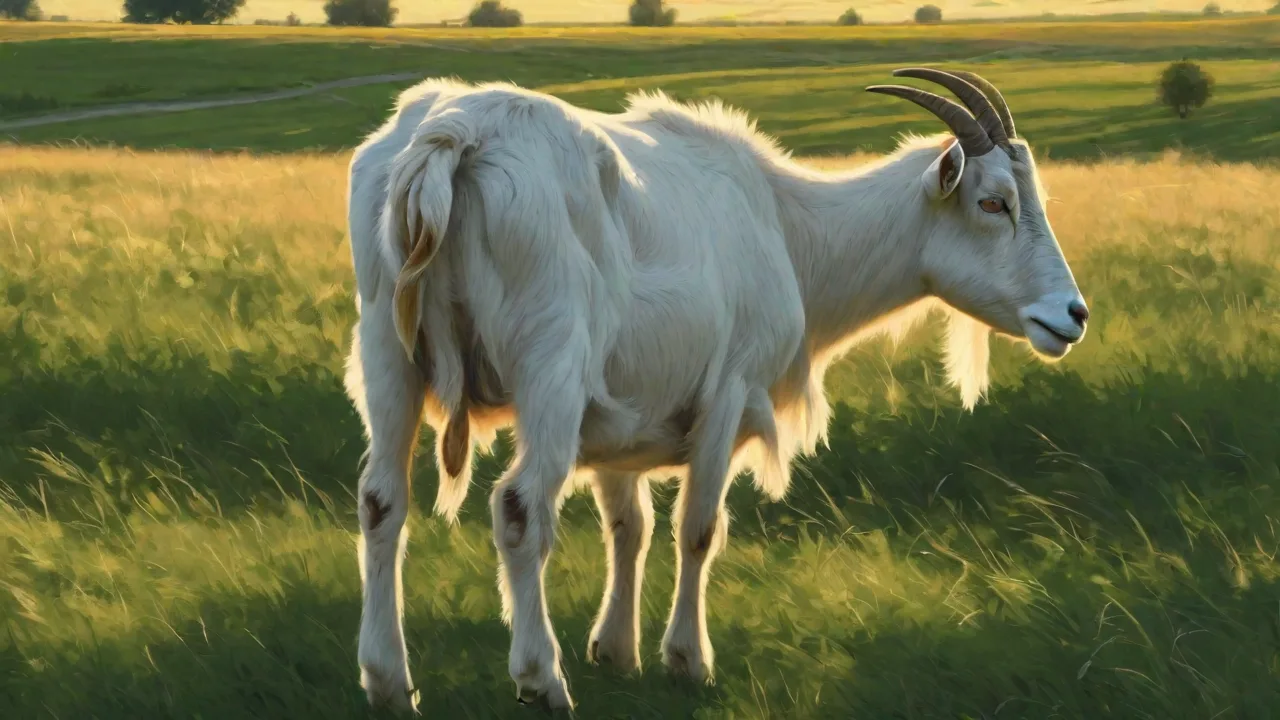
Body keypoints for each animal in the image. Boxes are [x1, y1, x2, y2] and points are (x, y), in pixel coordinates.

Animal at [341, 67, 1090, 712]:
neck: (786, 226)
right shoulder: (728, 389)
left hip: (386, 345)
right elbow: (698, 527)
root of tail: (457, 136)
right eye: (993, 202)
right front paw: (686, 661)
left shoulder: (622, 404)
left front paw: (615, 650)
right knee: (520, 507)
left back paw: (387, 681)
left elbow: (629, 525)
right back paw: (541, 680)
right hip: (550, 359)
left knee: (382, 500)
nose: (1072, 315)